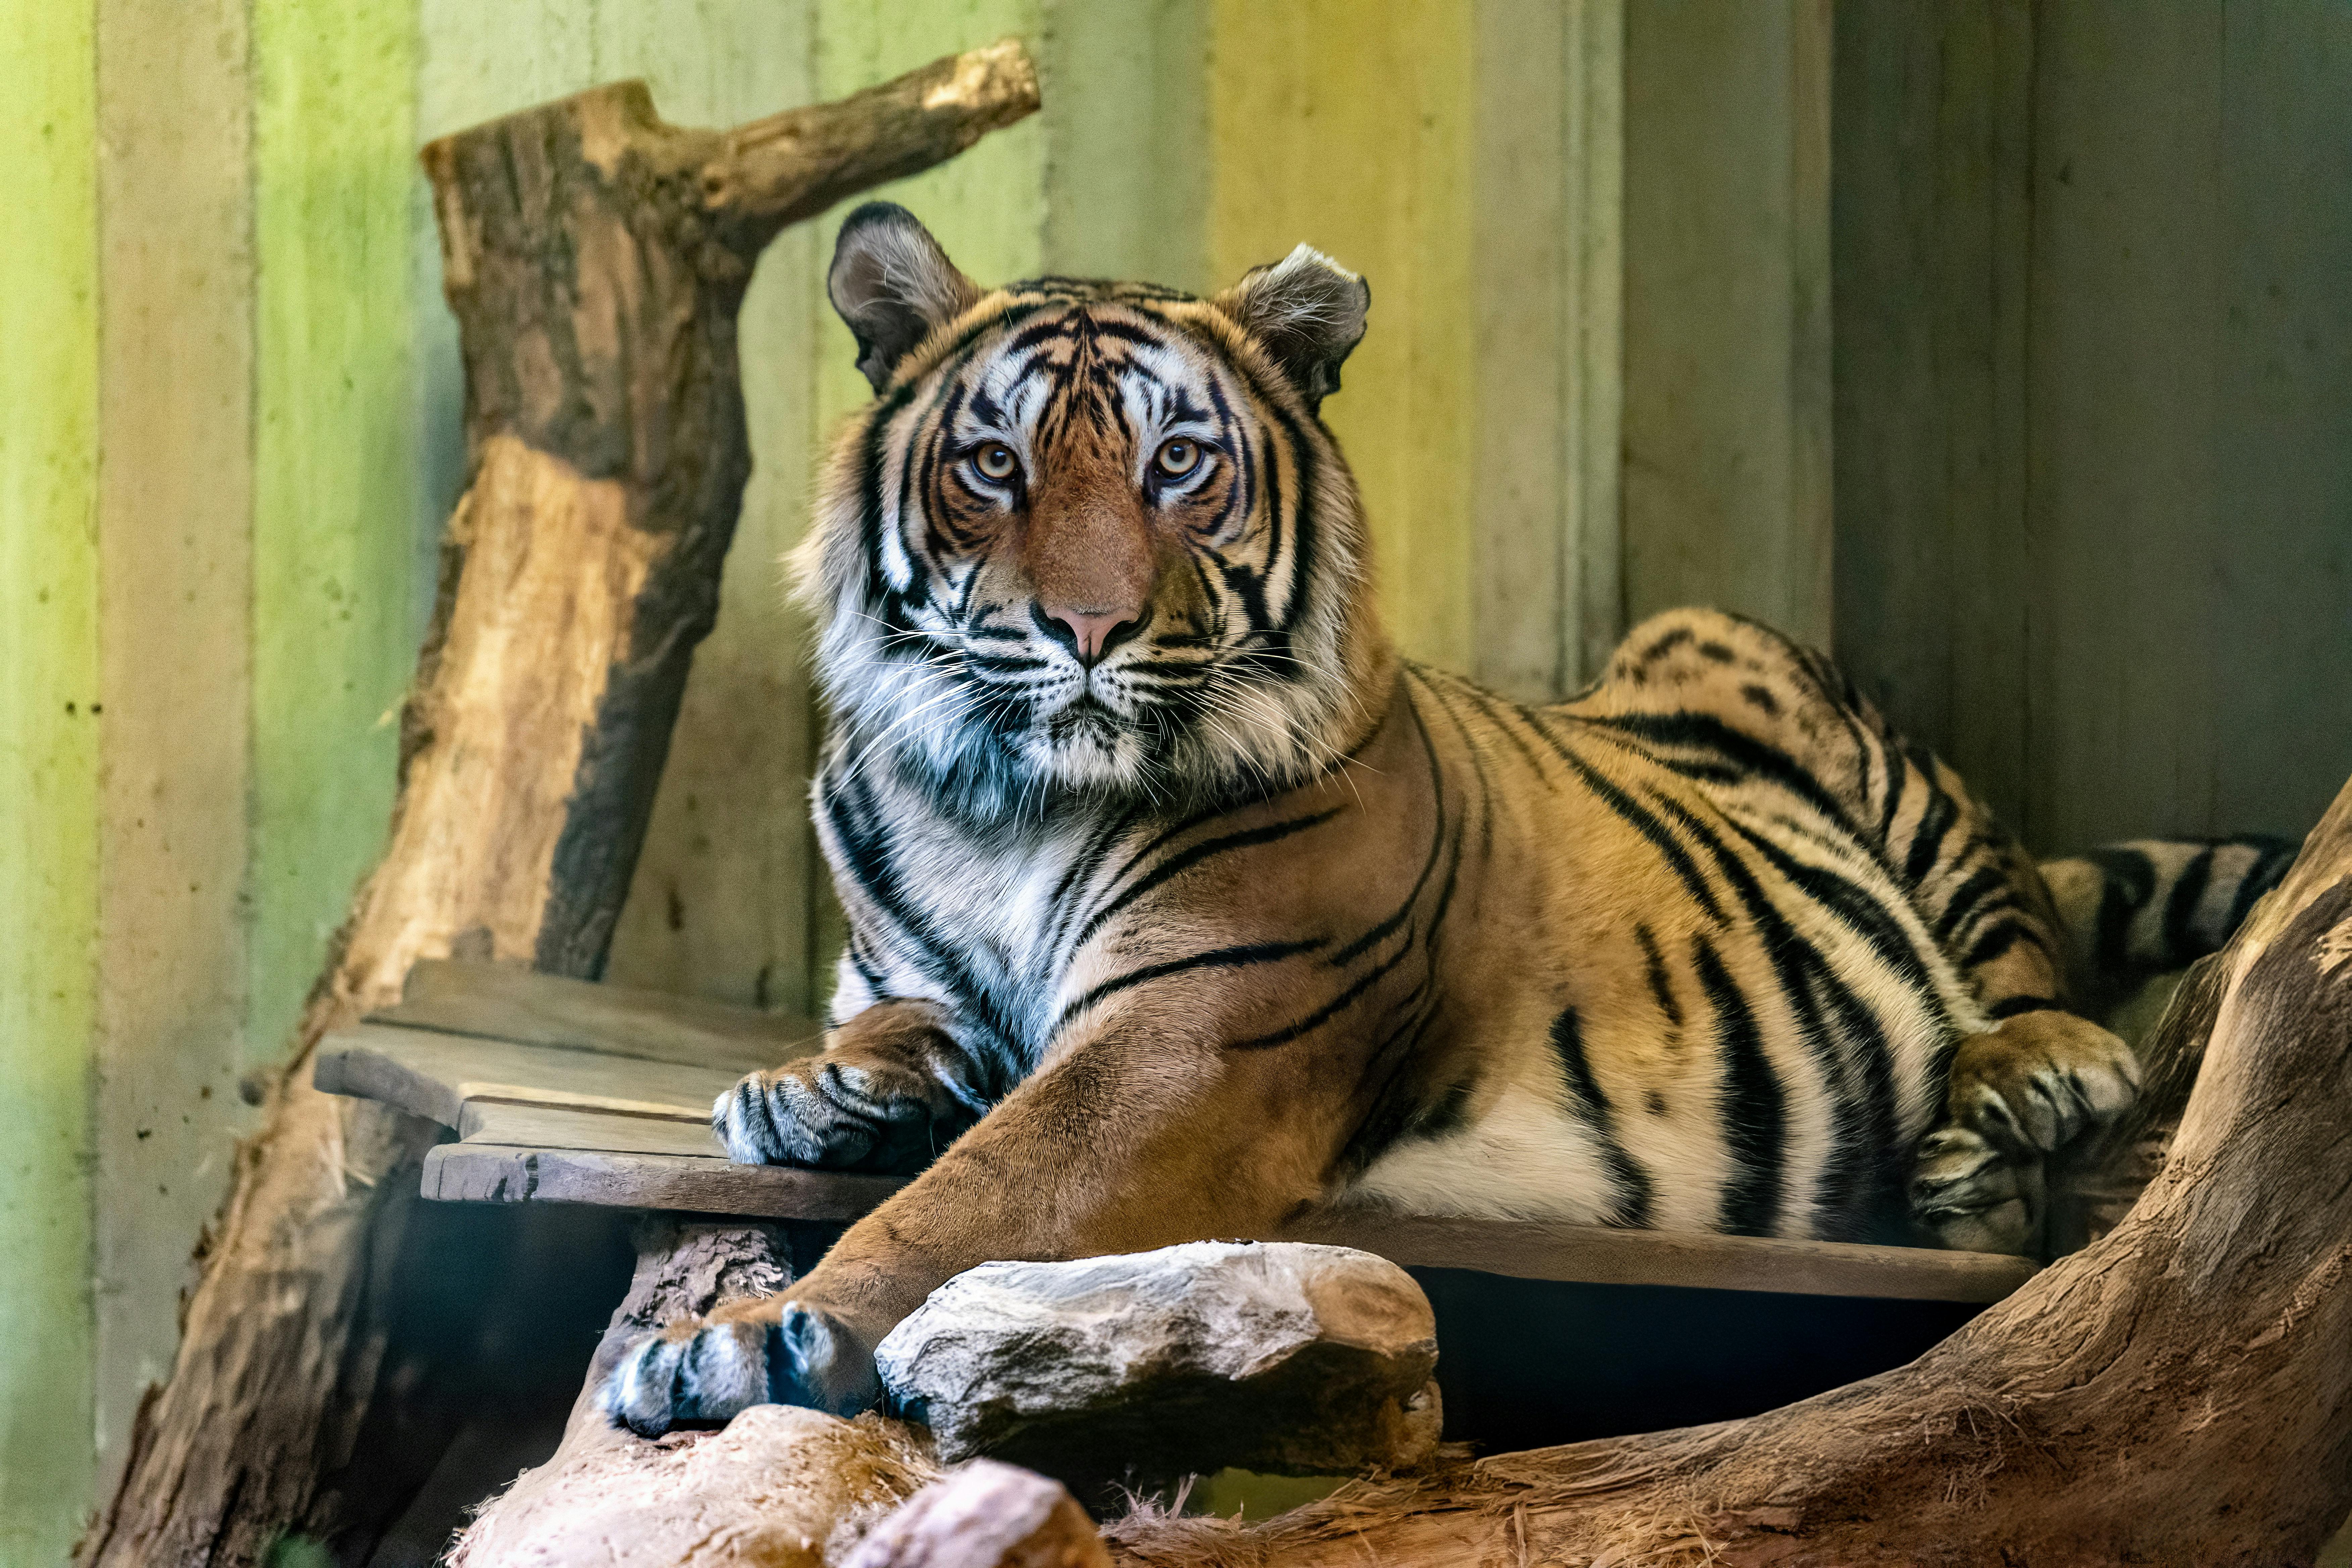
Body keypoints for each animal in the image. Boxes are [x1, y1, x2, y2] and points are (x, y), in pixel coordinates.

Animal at [602, 202, 2297, 1434]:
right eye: (994, 463)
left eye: (1178, 463)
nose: (1083, 628)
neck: (1000, 802)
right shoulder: (937, 972)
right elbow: (894, 1027)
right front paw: (810, 1091)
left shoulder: (1187, 1045)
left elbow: (969, 1202)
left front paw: (745, 1338)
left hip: (1781, 687)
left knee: (2011, 939)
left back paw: (2021, 1082)